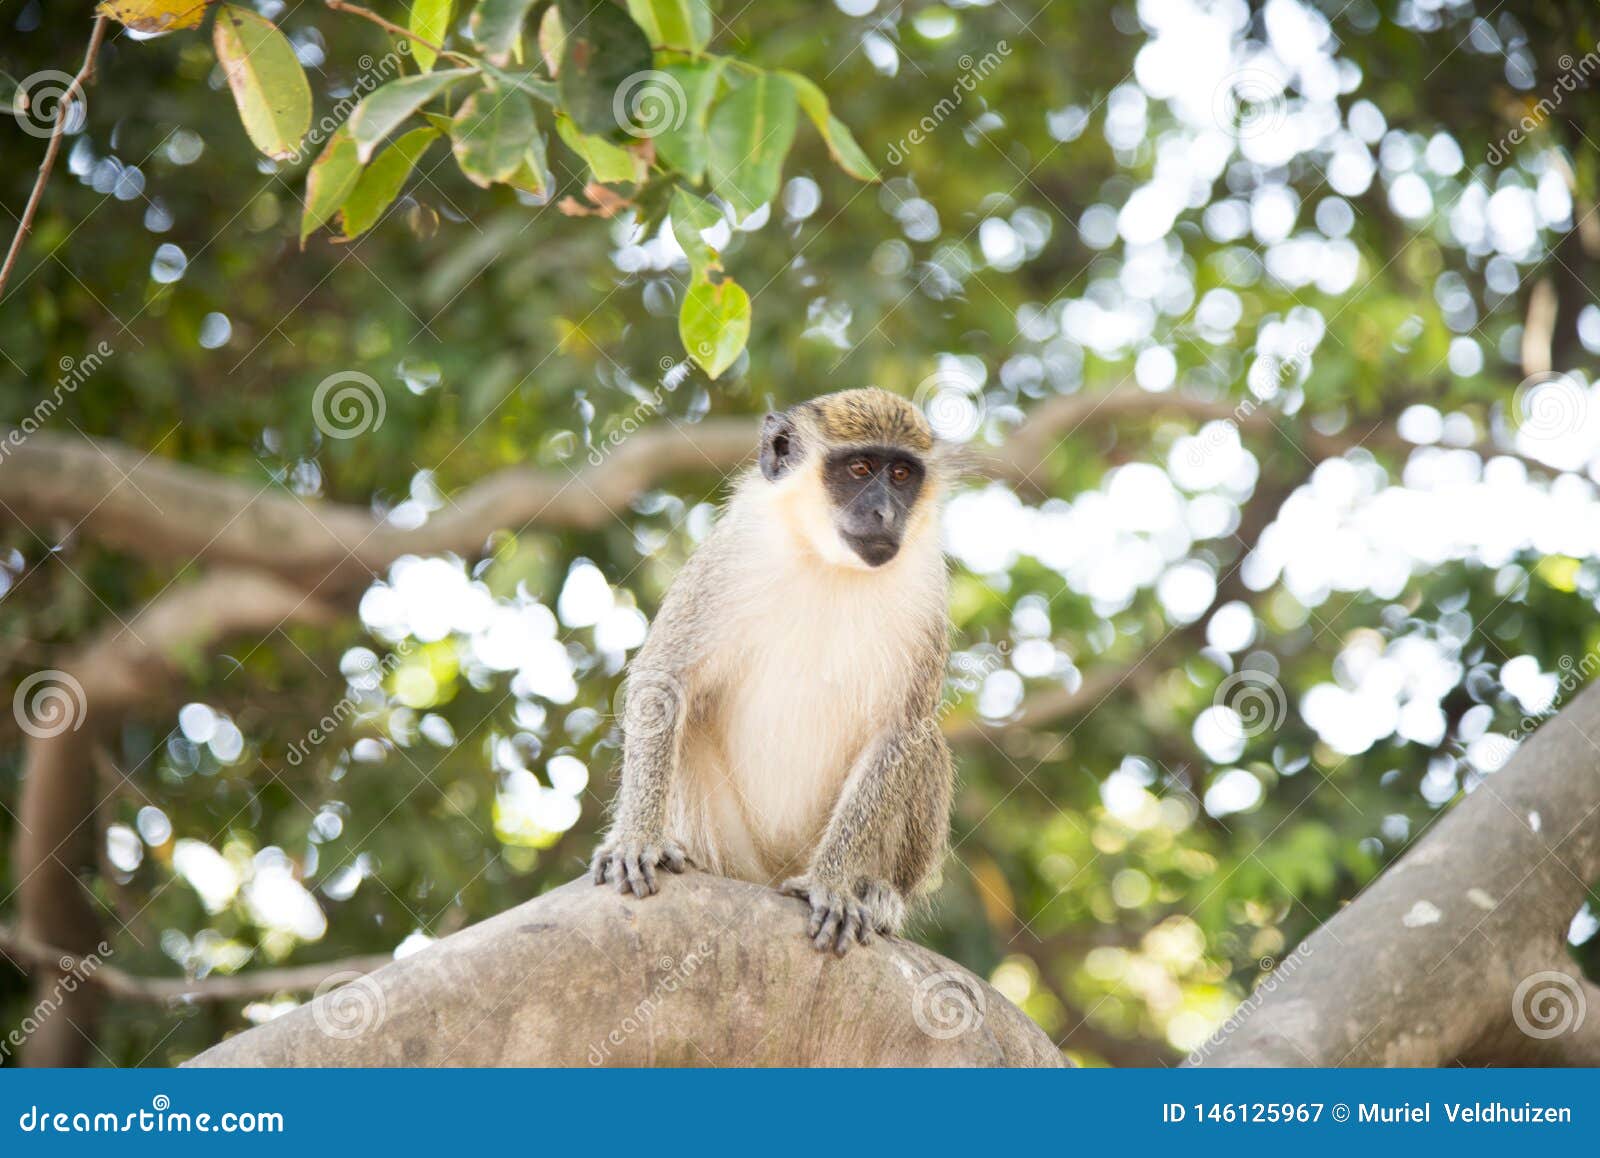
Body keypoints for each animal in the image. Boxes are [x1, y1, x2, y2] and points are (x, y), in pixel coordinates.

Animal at [590, 387, 956, 956]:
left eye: (901, 475)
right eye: (859, 468)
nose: (884, 512)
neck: (828, 562)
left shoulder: (928, 589)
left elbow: (903, 728)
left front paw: (833, 884)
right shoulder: (729, 555)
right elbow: (664, 681)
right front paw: (637, 838)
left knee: (929, 742)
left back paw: (876, 892)